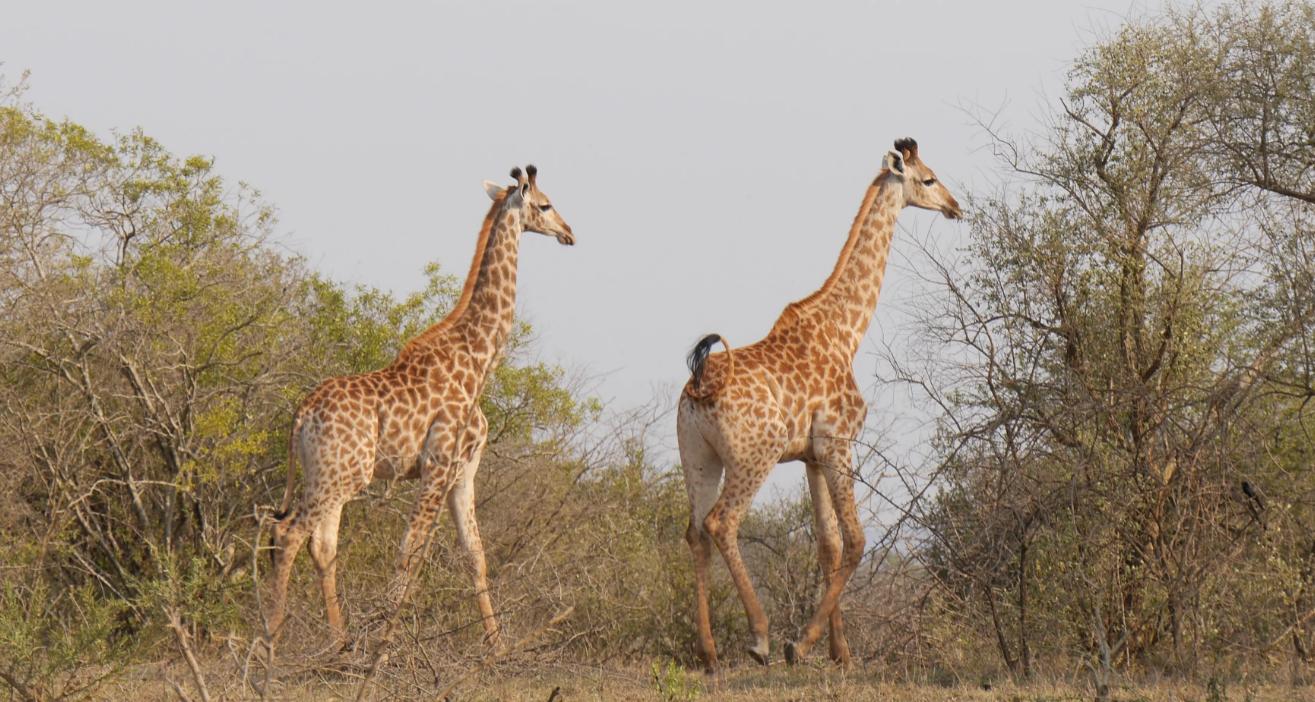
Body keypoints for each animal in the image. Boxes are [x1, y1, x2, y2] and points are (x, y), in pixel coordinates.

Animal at [265, 164, 575, 648]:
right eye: (545, 204)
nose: (569, 232)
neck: (479, 360)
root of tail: (300, 415)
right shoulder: (437, 466)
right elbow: (409, 555)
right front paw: (383, 649)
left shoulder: (464, 472)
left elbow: (474, 555)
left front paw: (498, 650)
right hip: (342, 474)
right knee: (288, 532)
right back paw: (273, 642)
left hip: (326, 474)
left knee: (321, 545)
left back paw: (338, 644)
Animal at [676, 139, 961, 670]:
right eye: (928, 178)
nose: (956, 206)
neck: (846, 331)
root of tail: (699, 388)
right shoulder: (838, 440)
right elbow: (855, 539)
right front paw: (803, 643)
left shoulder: (810, 455)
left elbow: (828, 544)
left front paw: (840, 652)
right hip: (754, 454)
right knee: (722, 522)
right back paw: (760, 638)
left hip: (698, 456)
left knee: (695, 533)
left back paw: (707, 653)